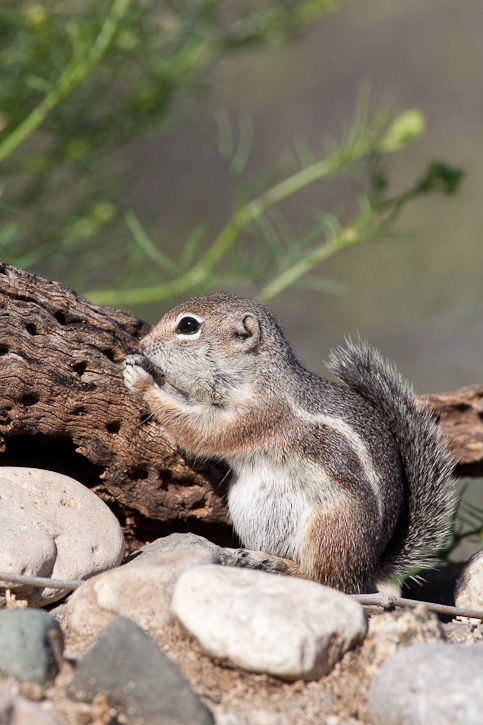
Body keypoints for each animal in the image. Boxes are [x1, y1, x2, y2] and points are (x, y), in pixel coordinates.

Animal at [123, 292, 456, 593]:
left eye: (188, 326)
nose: (143, 343)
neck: (258, 376)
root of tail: (368, 566)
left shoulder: (259, 414)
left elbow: (200, 433)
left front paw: (141, 379)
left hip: (330, 529)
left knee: (329, 581)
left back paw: (277, 565)